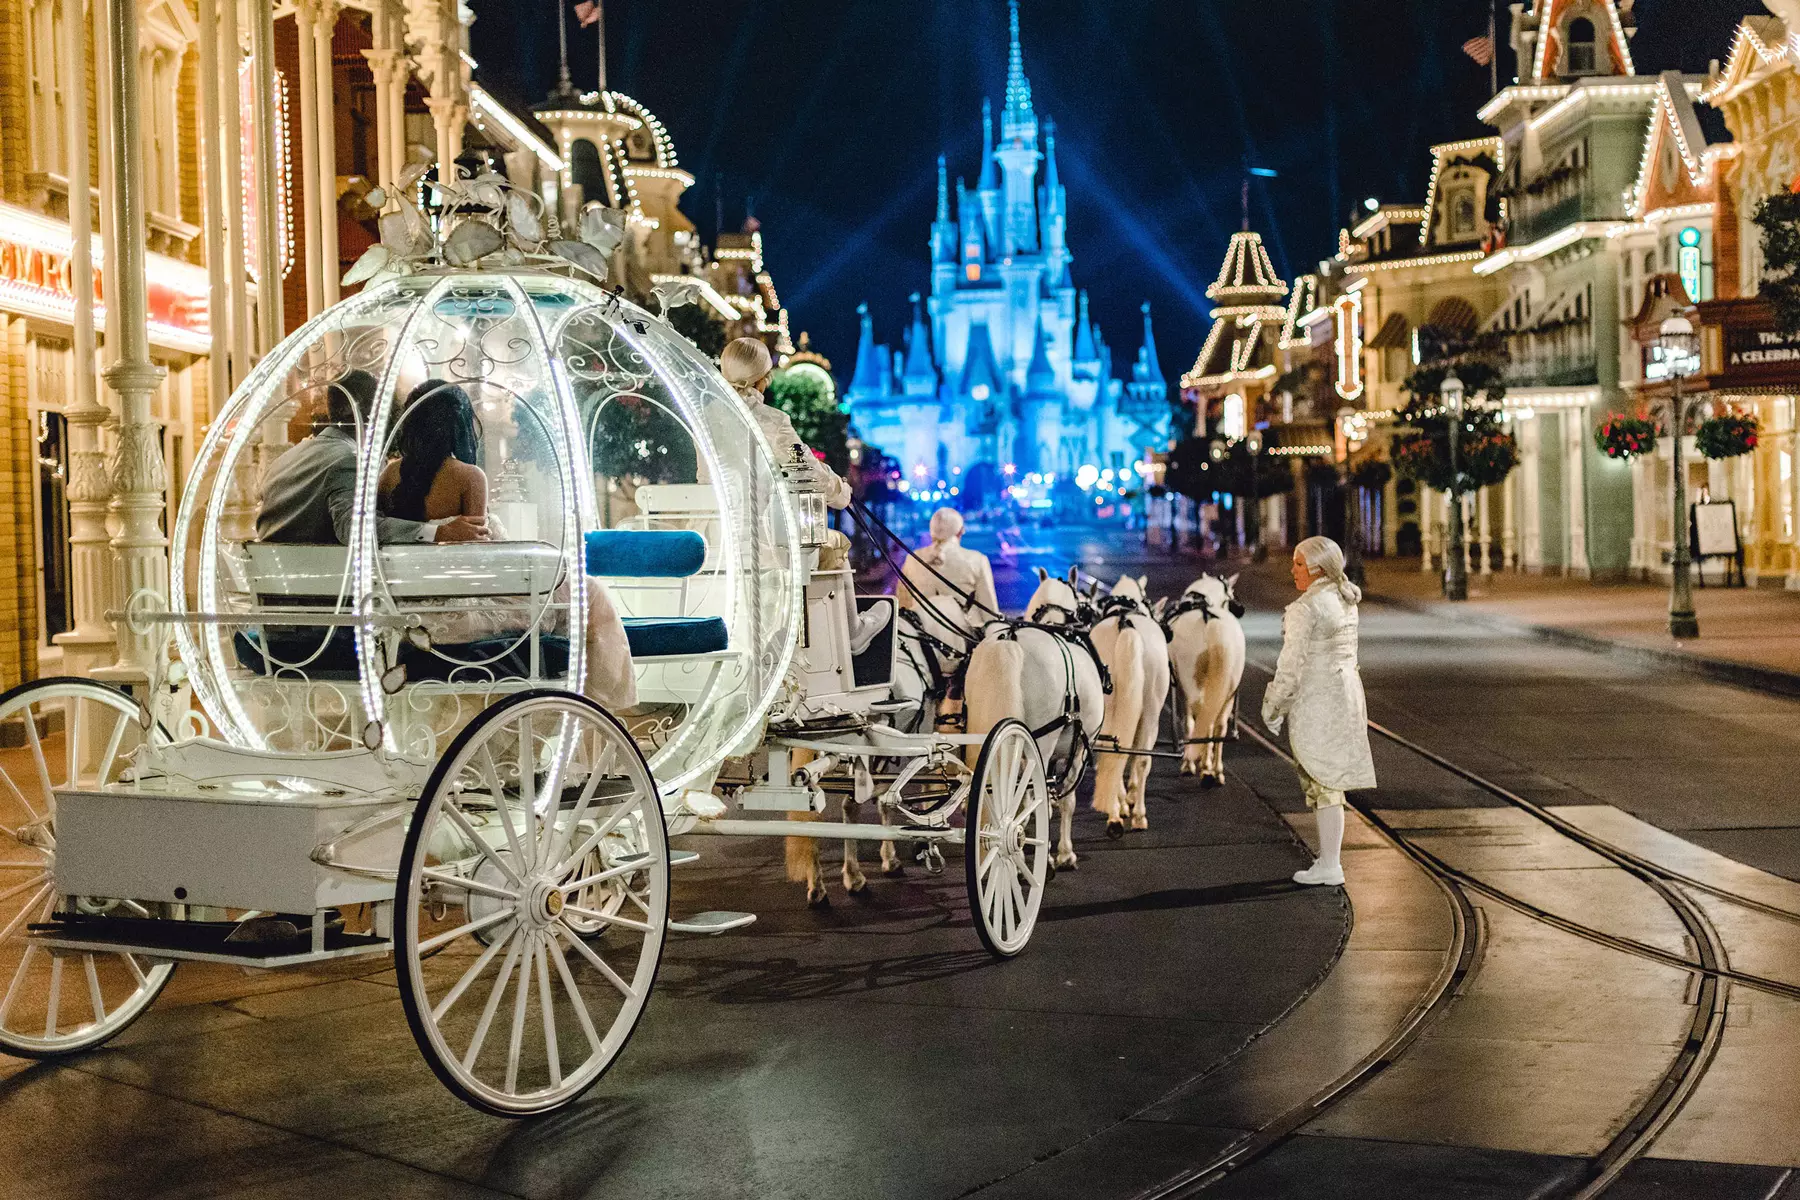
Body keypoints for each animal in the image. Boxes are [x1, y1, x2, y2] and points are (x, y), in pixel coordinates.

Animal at [964, 568, 1101, 867]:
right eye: (1087, 605)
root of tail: (1010, 640)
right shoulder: (1079, 750)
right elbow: (1064, 801)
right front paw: (1064, 853)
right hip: (1044, 743)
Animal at [1087, 575, 1173, 841]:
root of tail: (1125, 624)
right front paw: (1129, 800)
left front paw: (1126, 801)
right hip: (1150, 710)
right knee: (1137, 757)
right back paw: (1133, 816)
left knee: (1116, 753)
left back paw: (1117, 816)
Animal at [1159, 575, 1245, 788]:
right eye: (1231, 594)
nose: (1240, 608)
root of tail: (1212, 621)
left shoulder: (1182, 690)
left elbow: (1188, 723)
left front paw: (1191, 764)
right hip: (1229, 690)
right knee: (1219, 724)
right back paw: (1215, 771)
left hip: (1191, 685)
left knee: (1201, 720)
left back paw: (1201, 767)